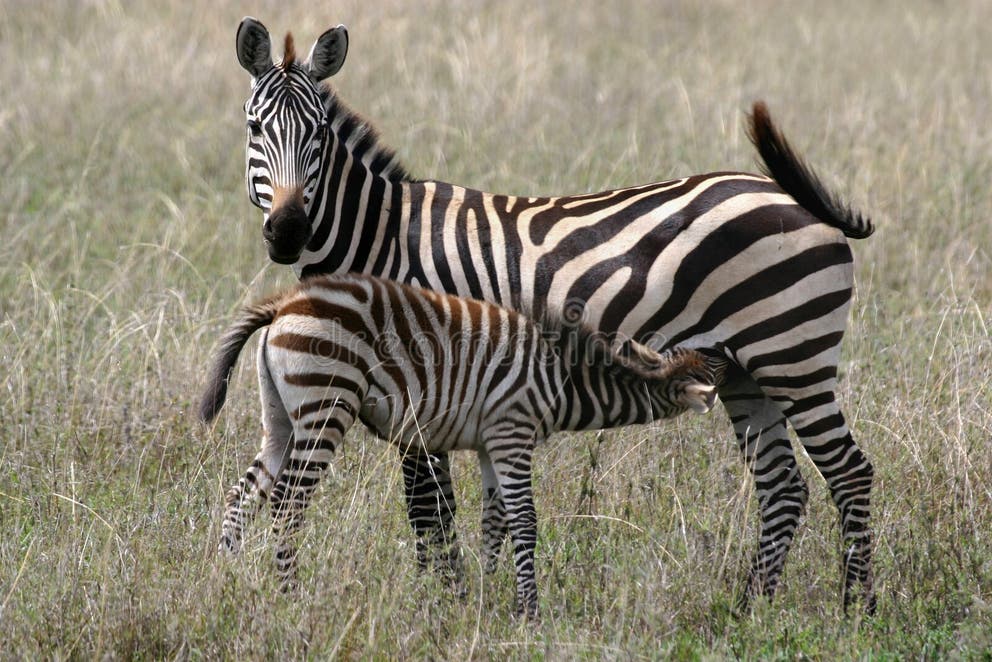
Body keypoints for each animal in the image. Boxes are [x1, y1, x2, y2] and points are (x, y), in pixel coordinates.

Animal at [199, 273, 719, 617]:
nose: (723, 392)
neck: (564, 378)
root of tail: (286, 303)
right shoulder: (513, 431)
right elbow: (524, 521)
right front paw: (530, 611)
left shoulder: (492, 444)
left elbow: (494, 522)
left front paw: (487, 598)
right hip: (326, 405)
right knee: (288, 503)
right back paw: (291, 597)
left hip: (280, 418)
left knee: (242, 496)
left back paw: (228, 581)